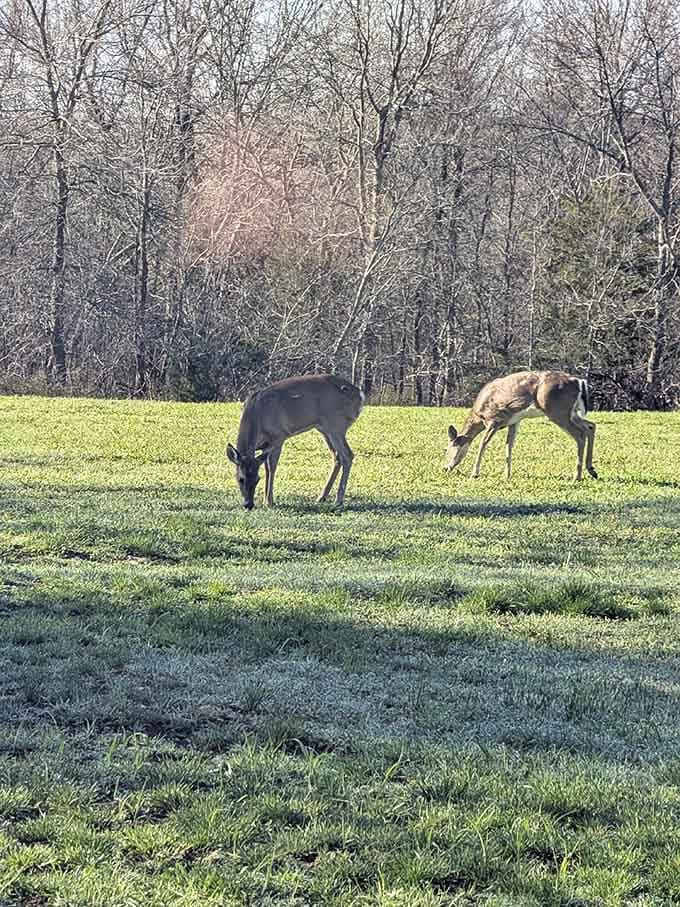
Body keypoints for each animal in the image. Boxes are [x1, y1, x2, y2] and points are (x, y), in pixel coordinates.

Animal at [226, 374, 365, 509]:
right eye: (240, 479)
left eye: (256, 479)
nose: (248, 504)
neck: (256, 416)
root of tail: (360, 395)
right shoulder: (265, 446)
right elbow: (266, 468)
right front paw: (267, 500)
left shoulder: (279, 436)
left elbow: (271, 468)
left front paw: (269, 502)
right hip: (324, 429)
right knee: (337, 456)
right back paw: (321, 497)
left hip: (336, 425)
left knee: (347, 455)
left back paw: (338, 501)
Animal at [444, 370, 598, 481]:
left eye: (447, 449)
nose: (445, 468)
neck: (479, 416)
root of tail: (579, 382)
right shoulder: (513, 421)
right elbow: (509, 445)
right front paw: (507, 474)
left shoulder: (494, 420)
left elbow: (483, 443)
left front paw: (475, 473)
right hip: (571, 412)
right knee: (590, 426)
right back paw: (591, 470)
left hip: (557, 411)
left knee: (580, 435)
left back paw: (577, 476)